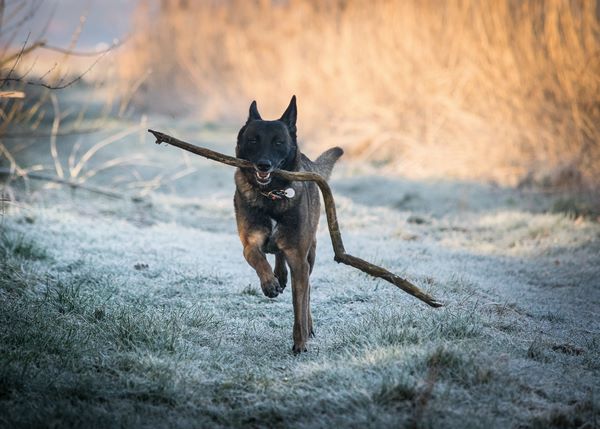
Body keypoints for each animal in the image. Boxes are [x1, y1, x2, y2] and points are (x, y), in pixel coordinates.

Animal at [237, 96, 344, 352]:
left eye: (278, 142)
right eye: (253, 140)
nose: (264, 165)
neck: (271, 195)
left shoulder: (298, 259)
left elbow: (299, 305)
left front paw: (300, 341)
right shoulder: (249, 244)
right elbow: (259, 259)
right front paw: (269, 283)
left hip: (309, 255)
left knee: (307, 292)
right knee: (276, 254)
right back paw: (278, 275)